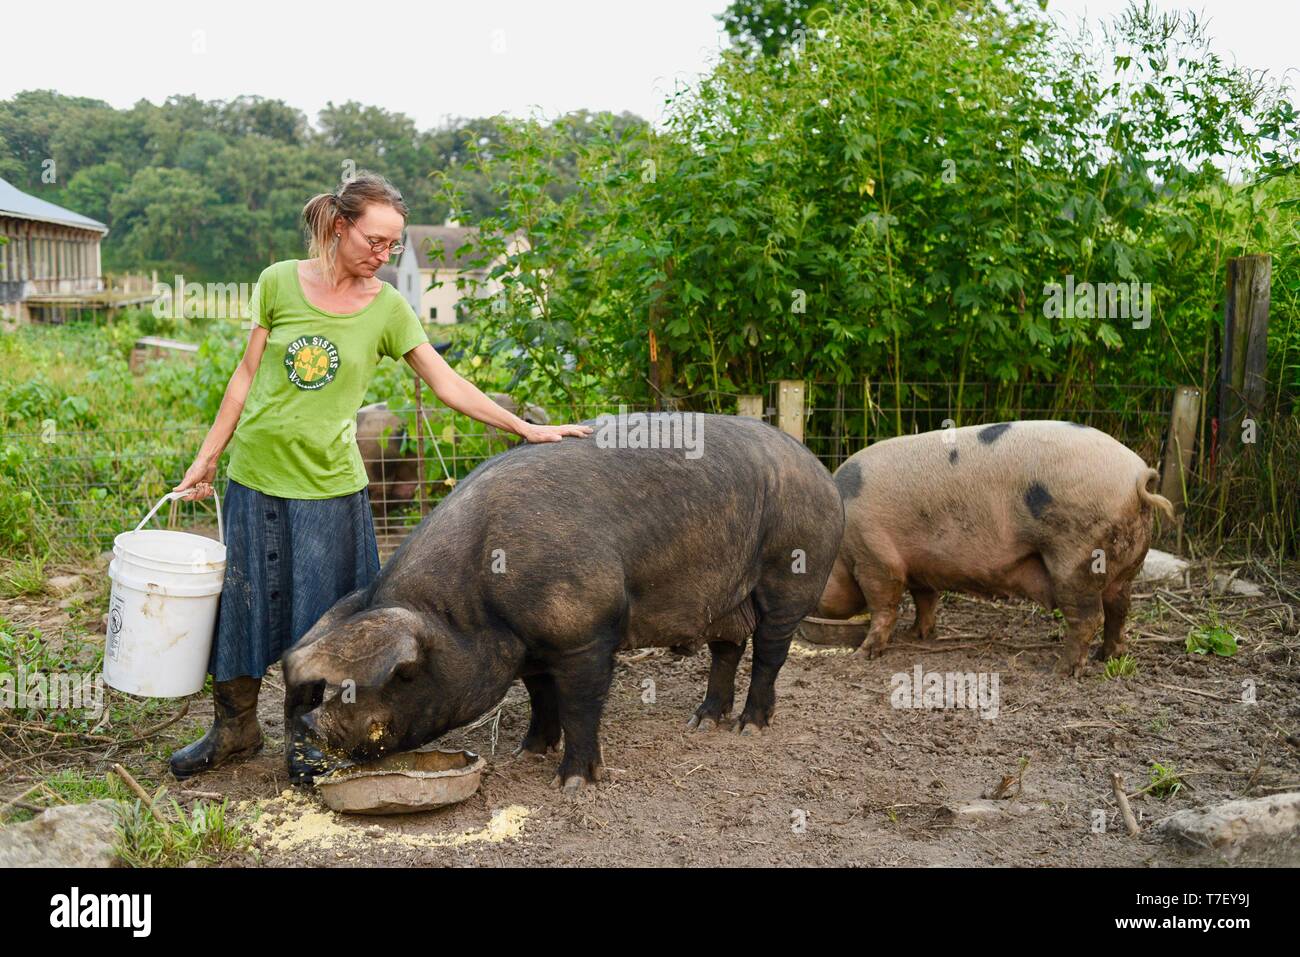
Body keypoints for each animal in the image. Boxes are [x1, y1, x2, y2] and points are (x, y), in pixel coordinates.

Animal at [283, 413, 844, 793]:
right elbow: (540, 695)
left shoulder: (587, 633)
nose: (311, 726)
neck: (472, 604)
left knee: (770, 650)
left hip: (792, 569)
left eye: (401, 675)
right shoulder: (531, 646)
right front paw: (527, 753)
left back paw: (749, 727)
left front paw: (572, 782)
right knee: (727, 648)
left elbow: (579, 703)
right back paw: (703, 721)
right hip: (726, 595)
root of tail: (820, 469)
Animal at [816, 420, 1175, 677]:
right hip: (1125, 565)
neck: (841, 547)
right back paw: (1109, 657)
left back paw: (1059, 671)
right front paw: (918, 635)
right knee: (1119, 609)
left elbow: (884, 606)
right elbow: (926, 601)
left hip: (1077, 558)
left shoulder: (875, 558)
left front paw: (862, 654)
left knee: (1089, 617)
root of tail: (1138, 477)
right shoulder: (921, 567)